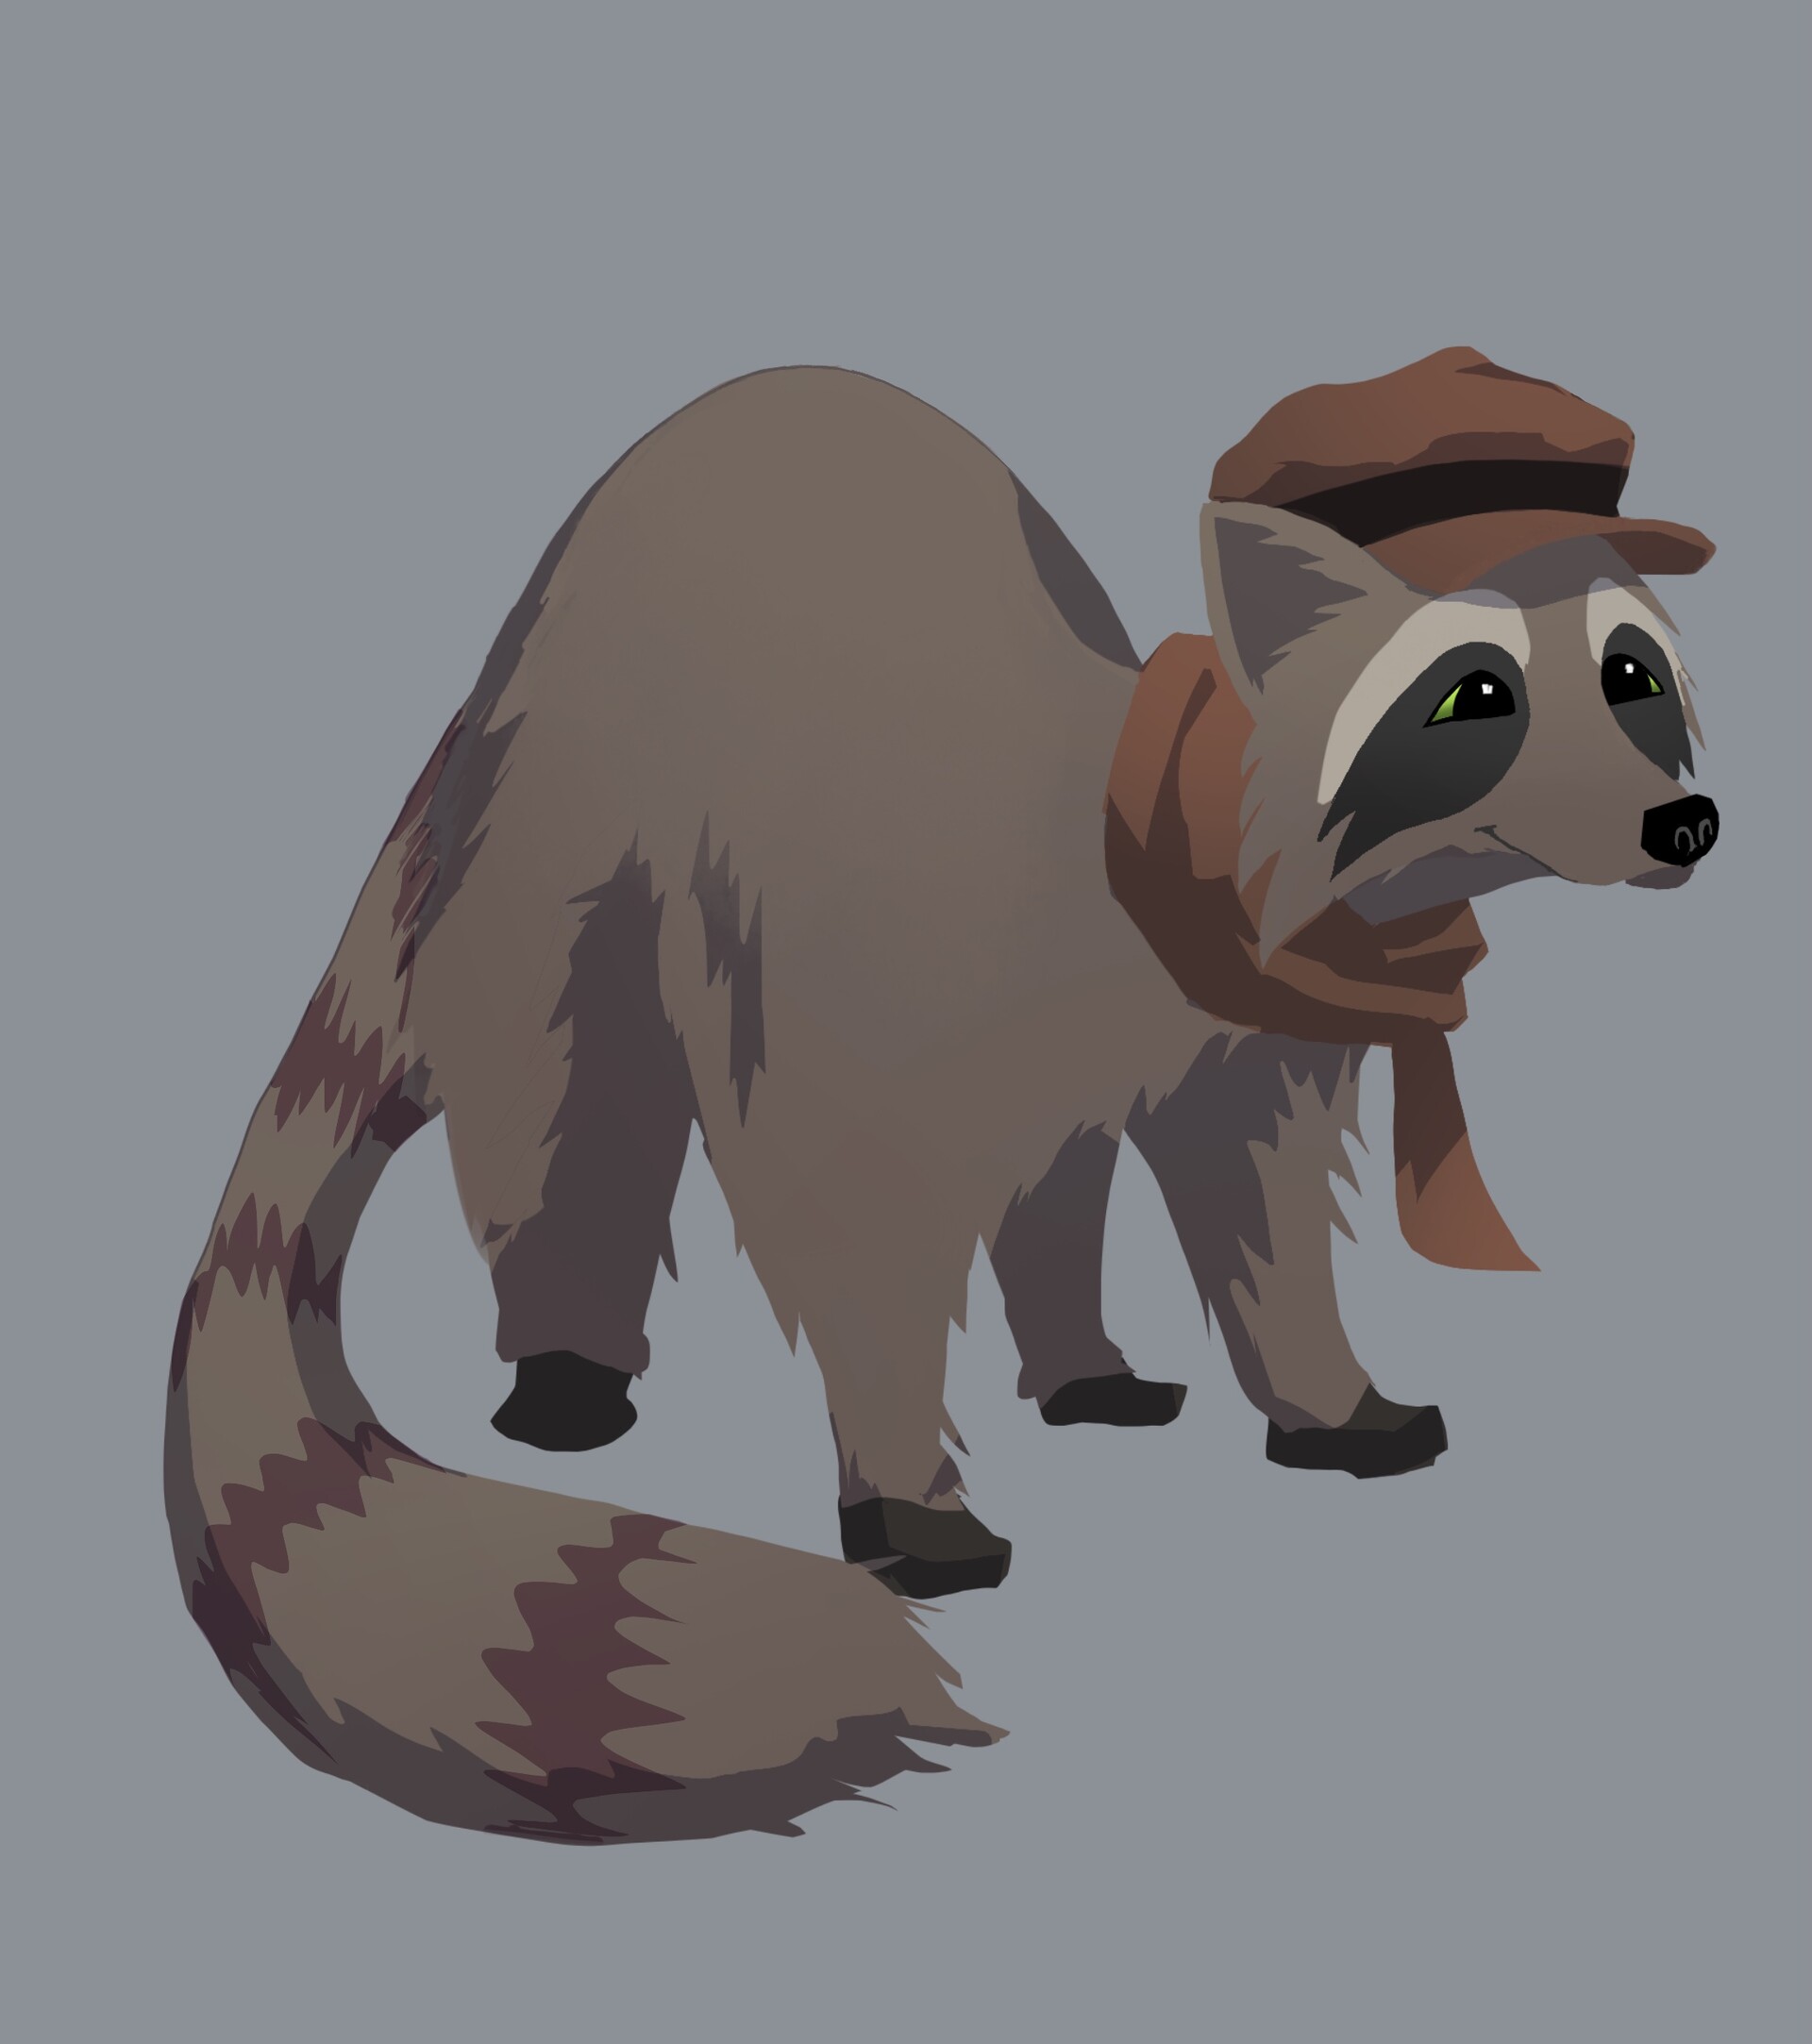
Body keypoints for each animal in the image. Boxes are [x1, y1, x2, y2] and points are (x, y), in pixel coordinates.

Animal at [166, 352, 1716, 1842]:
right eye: (1476, 695)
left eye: (1634, 673)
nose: (1684, 820)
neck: (1181, 835)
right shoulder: (879, 973)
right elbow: (858, 1235)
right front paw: (906, 1480)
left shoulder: (1240, 1030)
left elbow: (1251, 1193)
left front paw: (1321, 1383)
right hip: (570, 829)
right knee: (568, 1102)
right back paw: (566, 1353)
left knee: (1056, 1183)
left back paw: (1083, 1358)